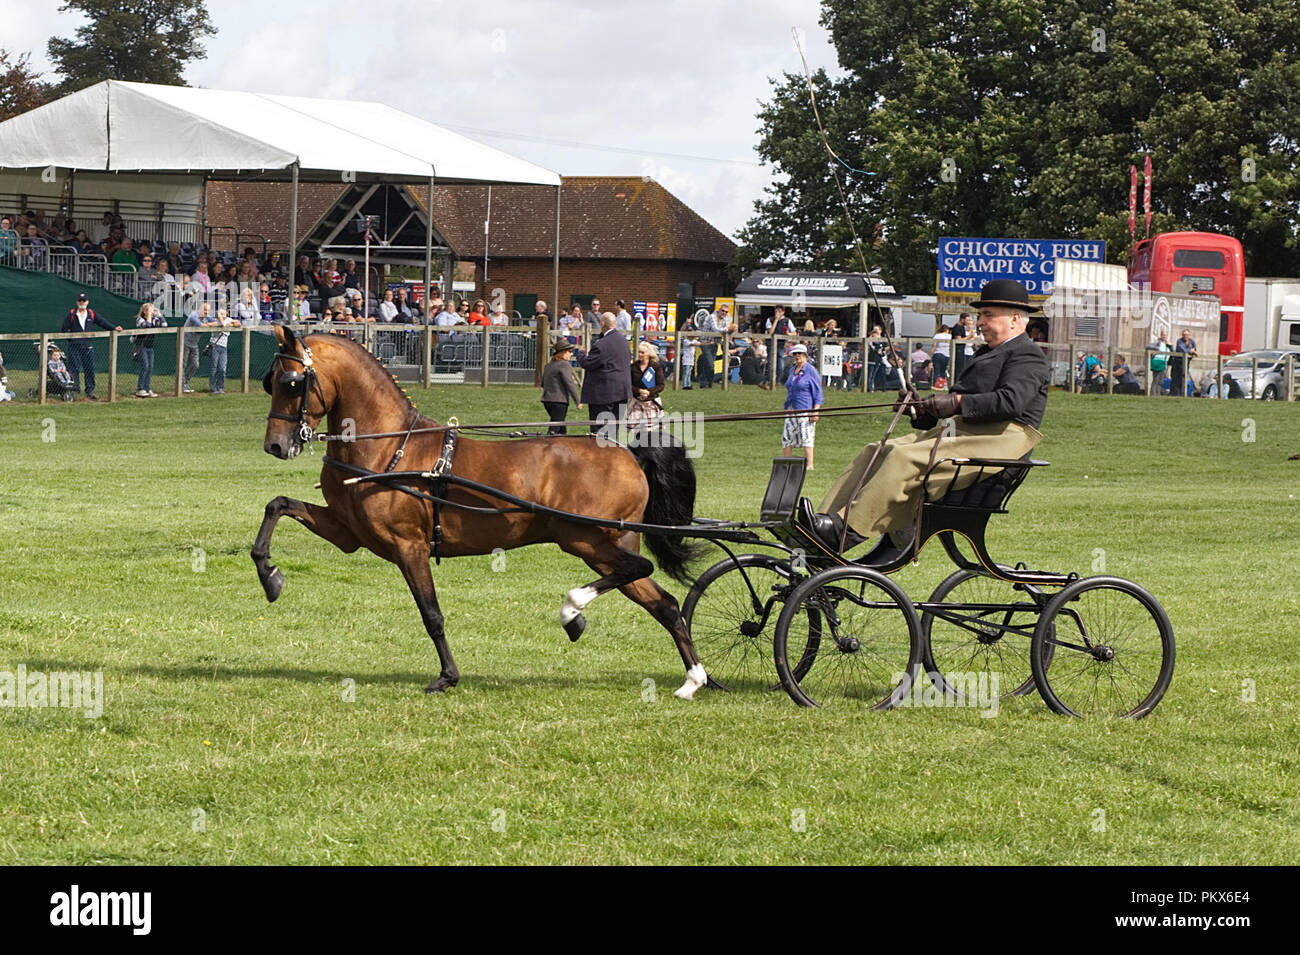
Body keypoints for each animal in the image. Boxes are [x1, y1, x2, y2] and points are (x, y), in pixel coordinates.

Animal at [252, 324, 713, 699]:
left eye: (292, 382)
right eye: (269, 381)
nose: (275, 445)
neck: (389, 447)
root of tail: (628, 451)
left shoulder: (409, 546)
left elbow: (432, 614)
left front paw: (447, 677)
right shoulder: (348, 533)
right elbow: (278, 505)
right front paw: (271, 577)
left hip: (586, 538)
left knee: (639, 569)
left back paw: (573, 609)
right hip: (605, 543)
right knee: (664, 602)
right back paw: (693, 679)